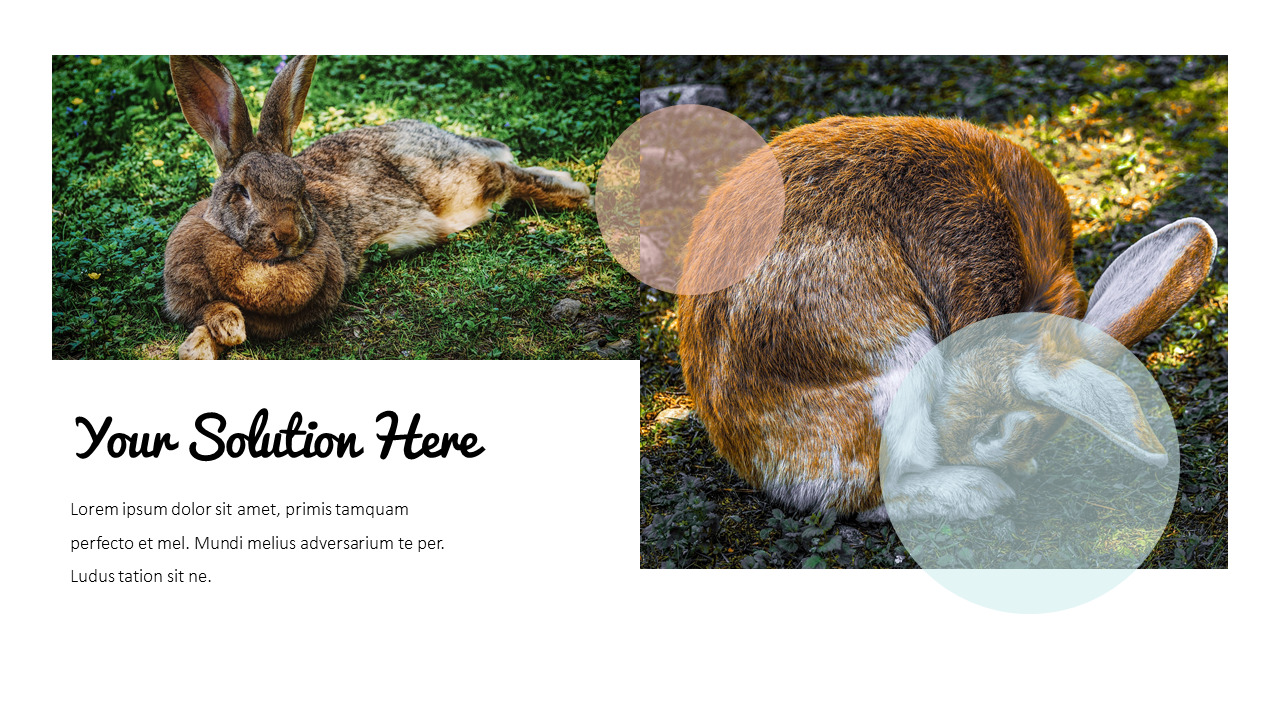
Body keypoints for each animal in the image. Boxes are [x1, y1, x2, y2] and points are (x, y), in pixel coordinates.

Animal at [163, 55, 592, 360]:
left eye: (302, 189)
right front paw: (206, 343)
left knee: (507, 175)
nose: (286, 235)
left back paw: (579, 194)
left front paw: (212, 339)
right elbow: (210, 316)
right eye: (243, 191)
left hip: (458, 184)